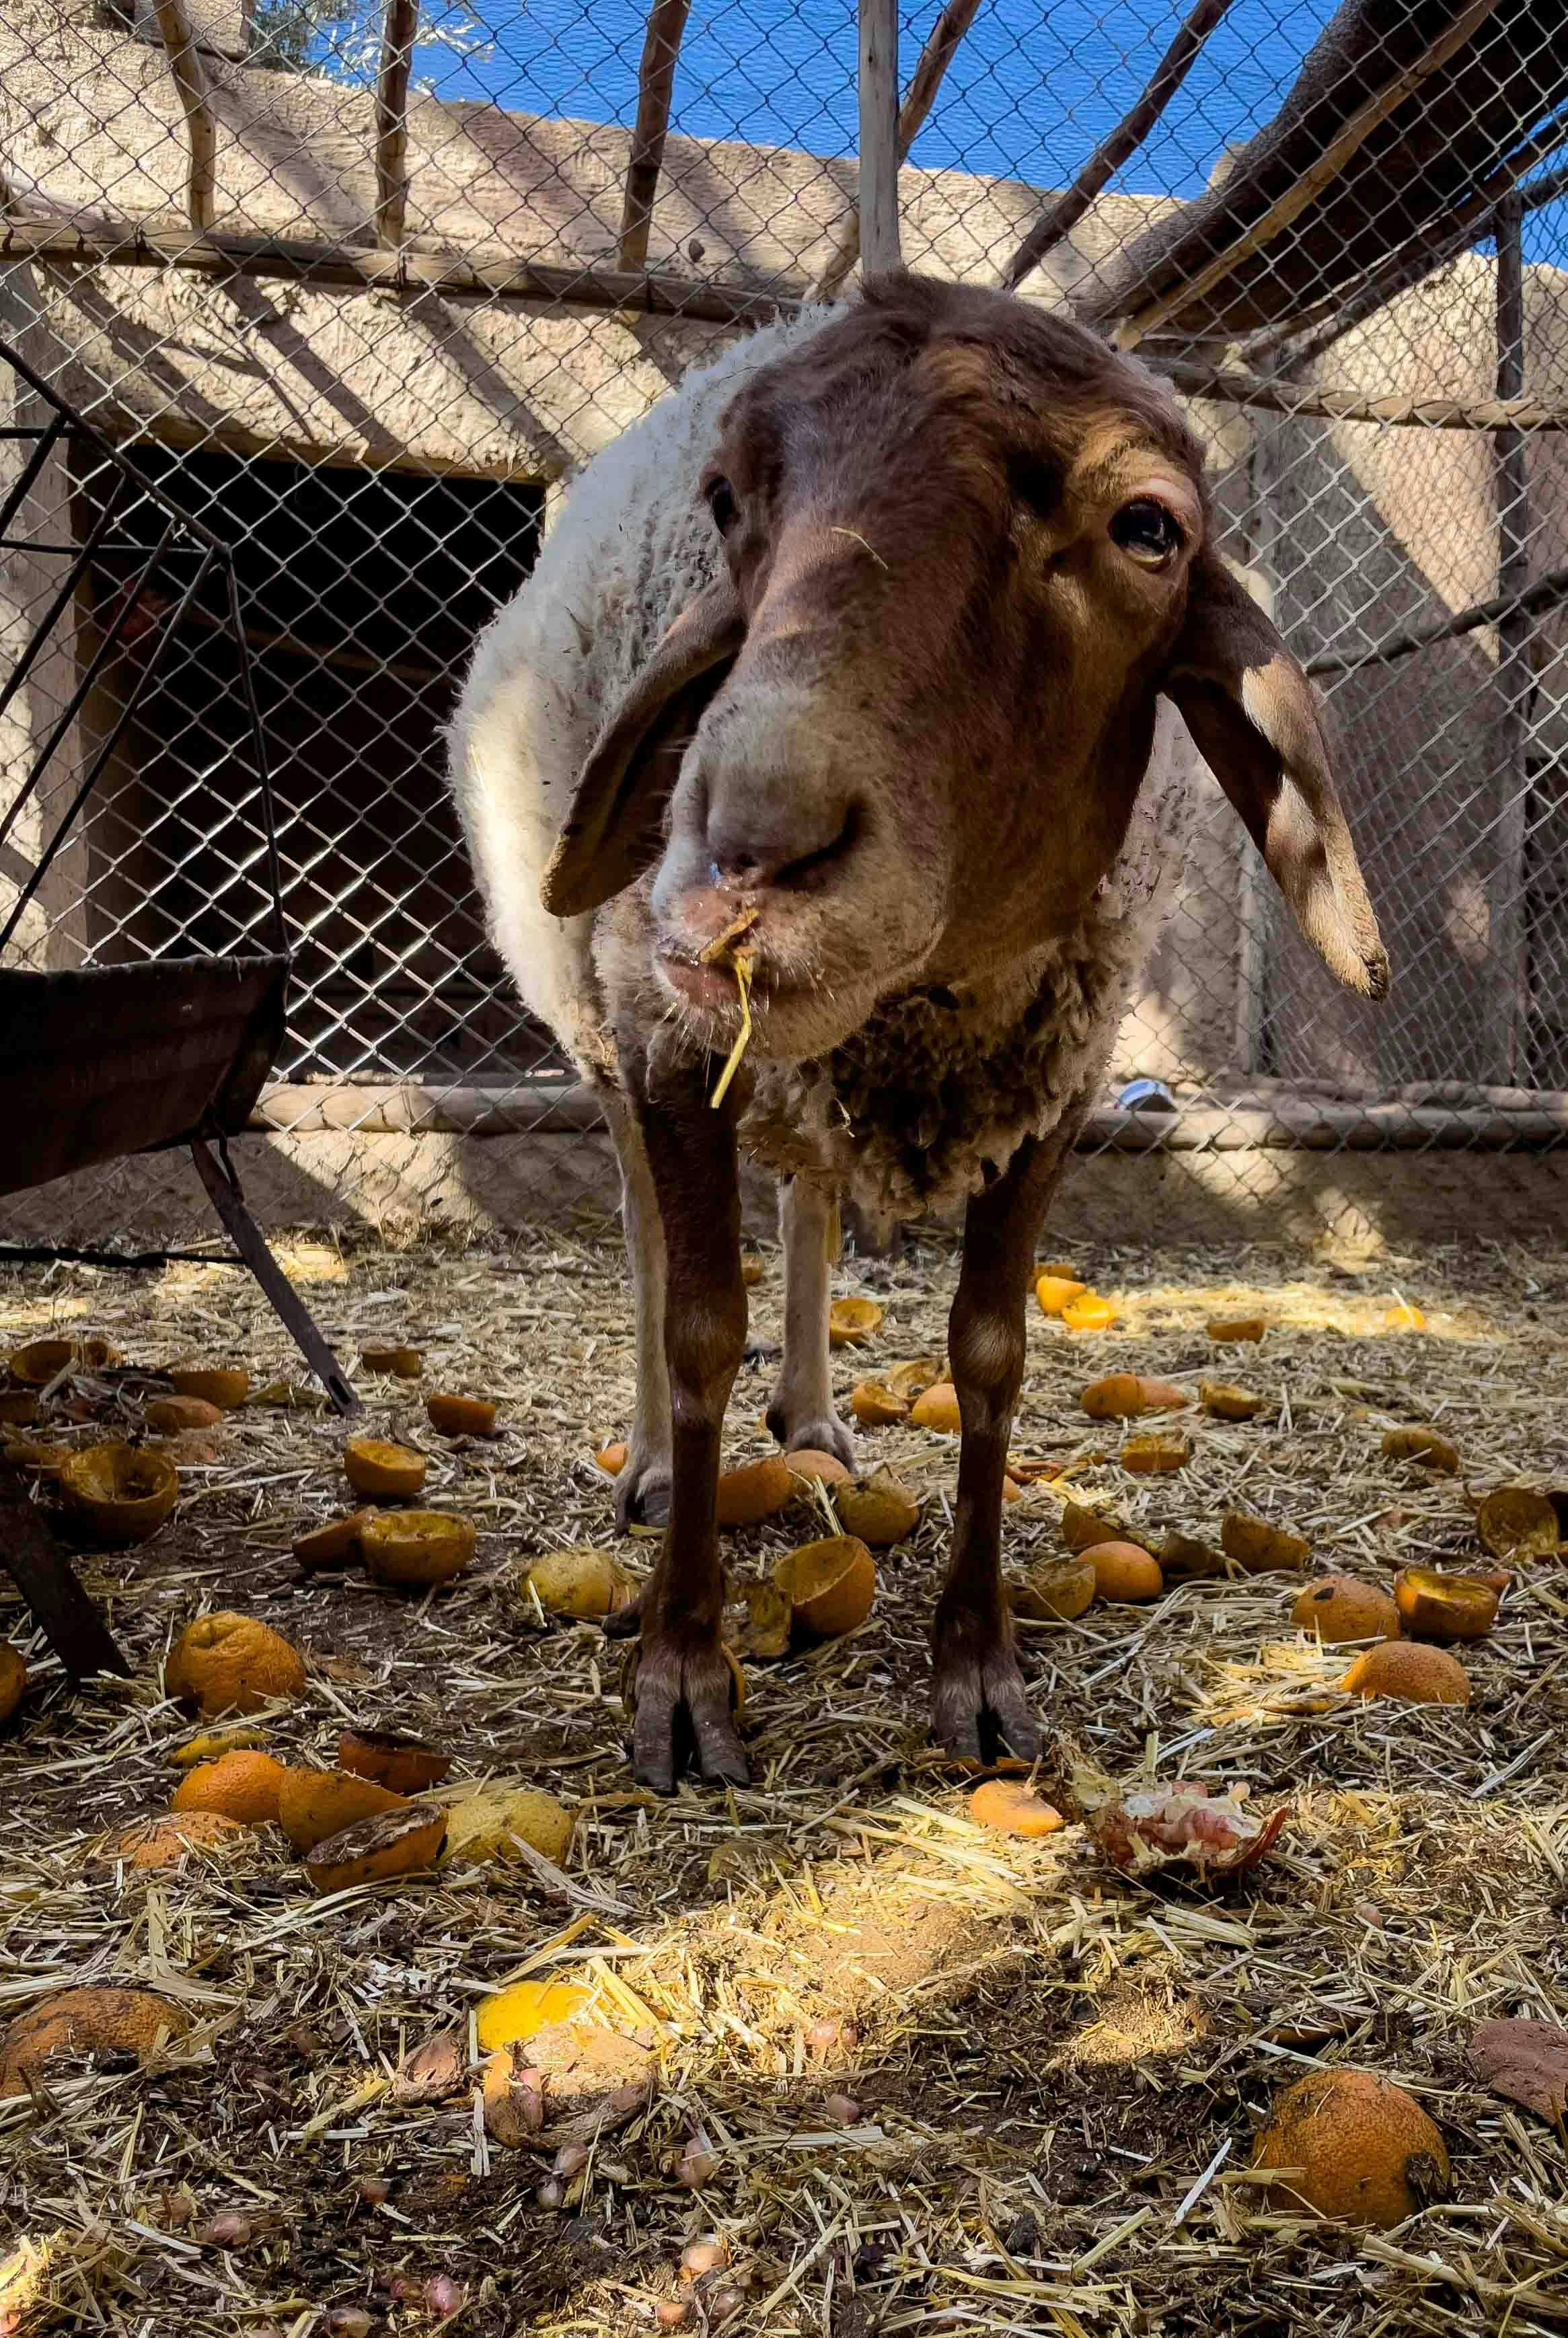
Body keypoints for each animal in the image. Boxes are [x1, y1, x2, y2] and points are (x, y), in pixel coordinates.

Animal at [448, 273, 1387, 1792]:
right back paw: (652, 1461)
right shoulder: (666, 1041)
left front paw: (977, 1672)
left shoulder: (1057, 1083)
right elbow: (701, 1329)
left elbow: (989, 1354)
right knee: (647, 1235)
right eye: (725, 498)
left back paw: (817, 1423)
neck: (931, 1005)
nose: (747, 849)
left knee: (810, 1203)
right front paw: (680, 1673)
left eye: (1148, 528)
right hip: (599, 1024)